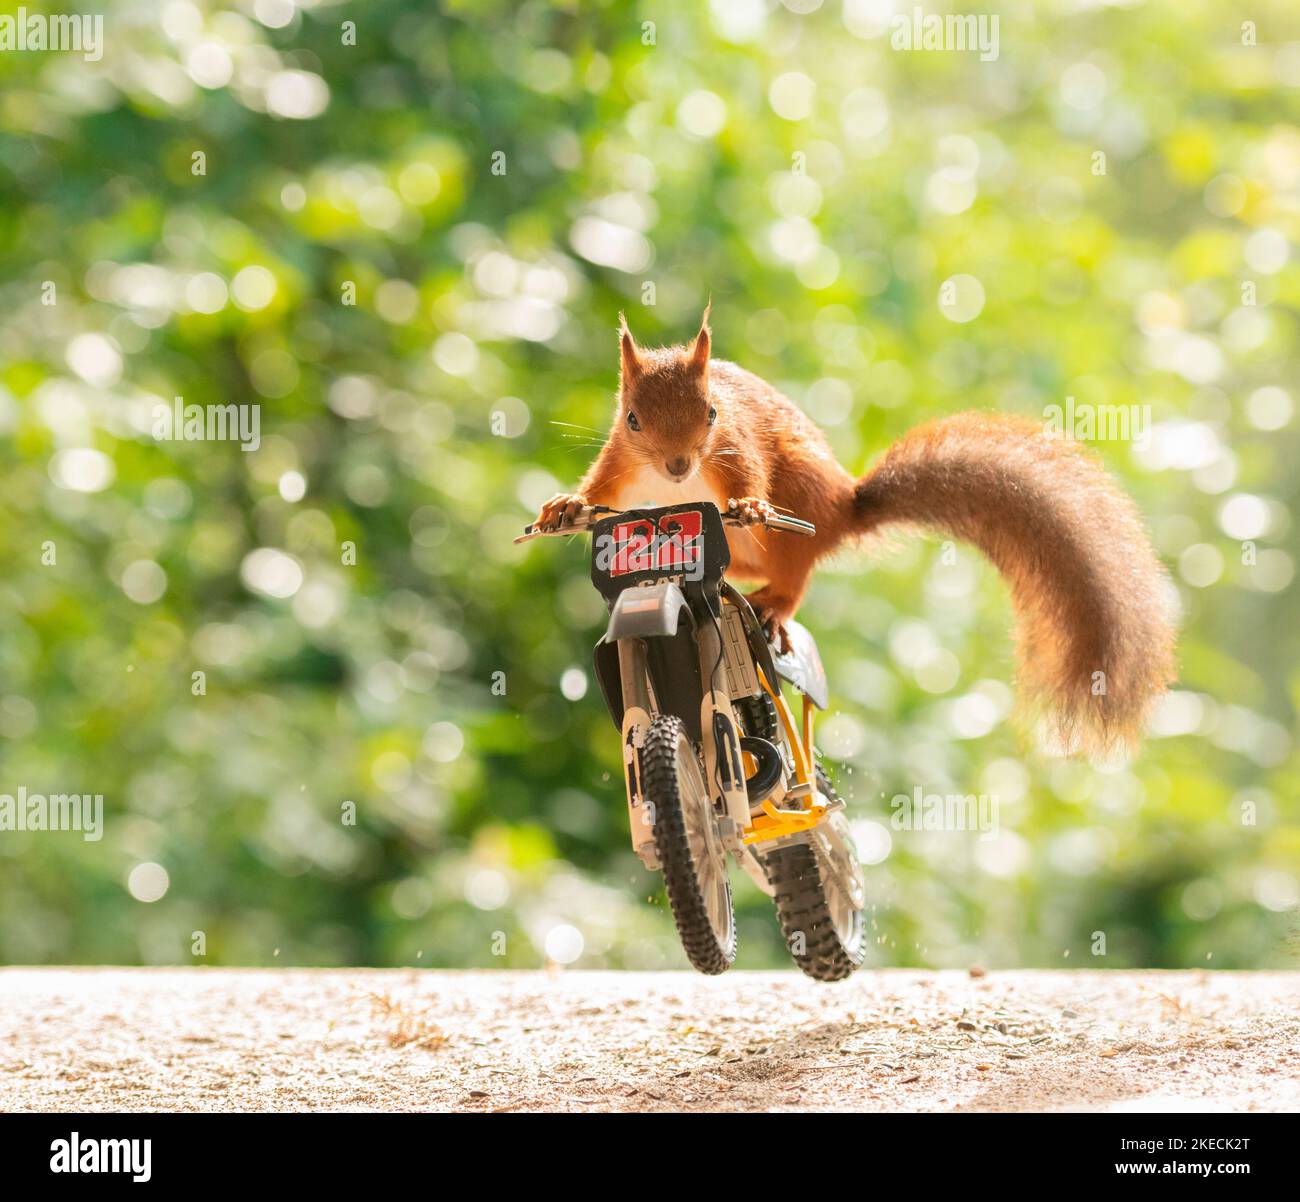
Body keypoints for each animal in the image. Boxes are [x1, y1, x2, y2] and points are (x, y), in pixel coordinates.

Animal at [534, 308, 1177, 755]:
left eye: (712, 414)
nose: (676, 466)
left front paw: (748, 502)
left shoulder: (738, 449)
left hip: (795, 515)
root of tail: (843, 510)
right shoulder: (621, 463)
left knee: (793, 579)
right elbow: (598, 489)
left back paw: (773, 608)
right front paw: (564, 508)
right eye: (632, 418)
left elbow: (749, 479)